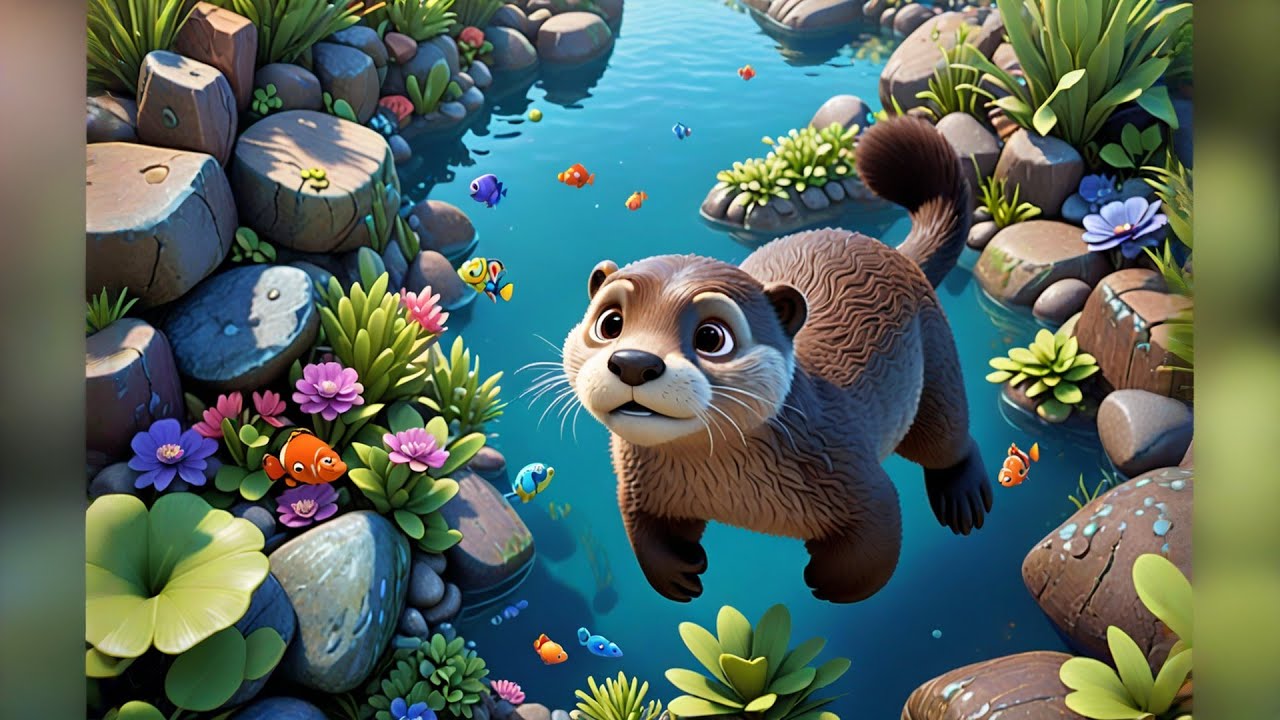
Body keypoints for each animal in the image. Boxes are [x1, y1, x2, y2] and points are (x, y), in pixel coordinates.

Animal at [559, 116, 993, 604]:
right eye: (610, 323)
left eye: (711, 337)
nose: (634, 361)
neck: (729, 492)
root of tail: (900, 254)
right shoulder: (637, 486)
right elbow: (645, 532)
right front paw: (678, 574)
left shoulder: (851, 473)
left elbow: (876, 542)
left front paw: (827, 583)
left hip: (935, 362)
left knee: (949, 438)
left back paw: (963, 498)